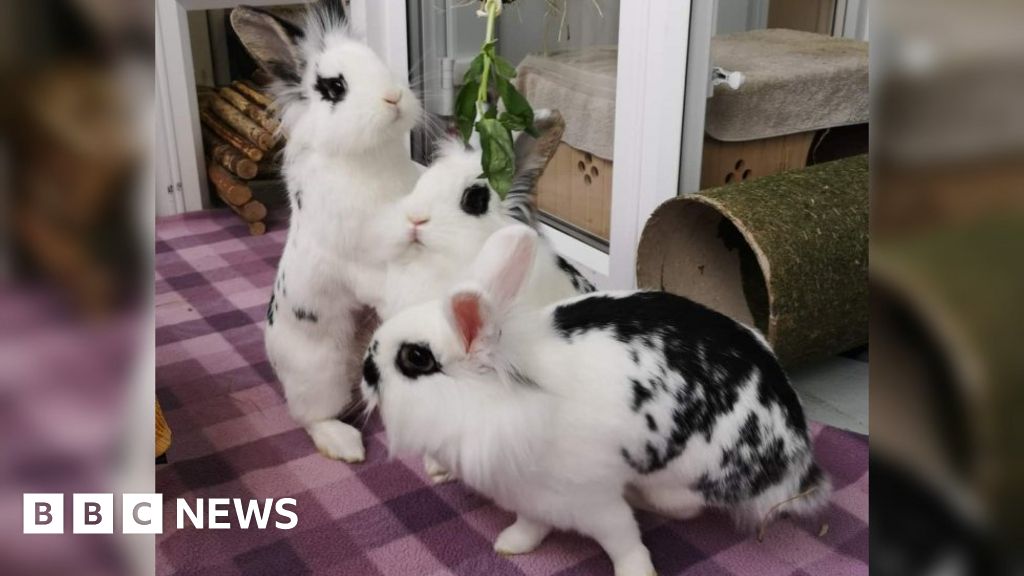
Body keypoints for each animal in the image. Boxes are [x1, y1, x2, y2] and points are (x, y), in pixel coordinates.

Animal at [231, 2, 422, 462]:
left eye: (379, 62)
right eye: (335, 86)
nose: (394, 97)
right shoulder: (356, 257)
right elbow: (379, 277)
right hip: (319, 373)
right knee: (310, 417)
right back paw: (346, 444)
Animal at [361, 226, 831, 576]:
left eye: (415, 358)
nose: (366, 372)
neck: (509, 396)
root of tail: (798, 454)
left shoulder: (592, 500)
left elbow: (622, 539)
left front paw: (637, 572)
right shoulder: (534, 497)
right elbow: (531, 526)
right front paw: (511, 546)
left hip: (683, 478)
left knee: (681, 507)